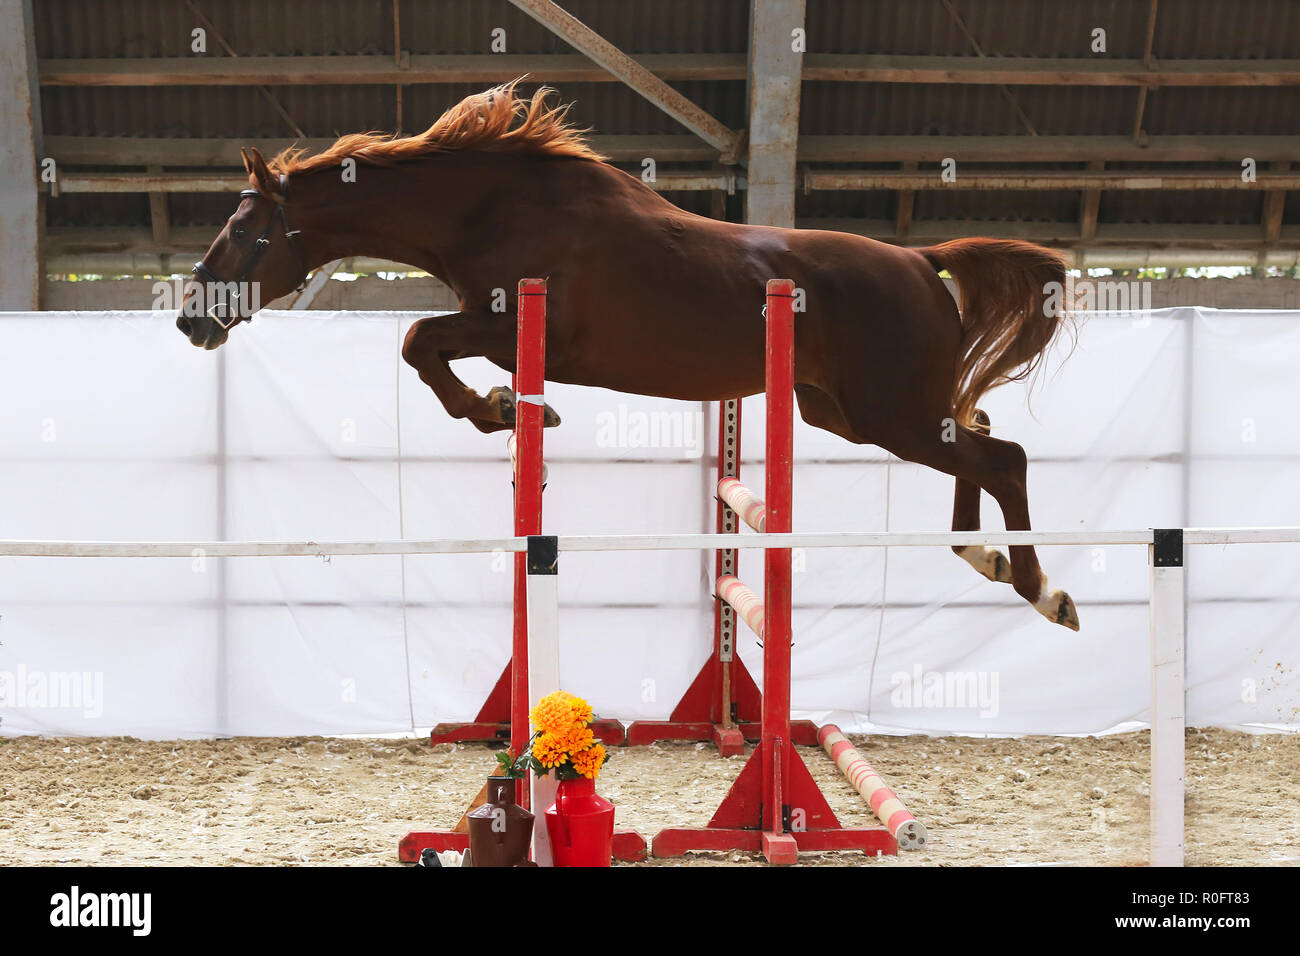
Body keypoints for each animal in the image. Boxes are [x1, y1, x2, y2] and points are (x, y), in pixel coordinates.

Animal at [177, 81, 1079, 630]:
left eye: (245, 232)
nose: (191, 320)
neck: (488, 207)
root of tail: (922, 261)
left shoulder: (518, 331)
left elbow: (417, 341)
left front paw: (498, 410)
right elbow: (422, 346)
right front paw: (504, 412)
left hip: (891, 414)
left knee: (1003, 456)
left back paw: (1043, 590)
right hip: (852, 415)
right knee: (978, 440)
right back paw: (985, 557)